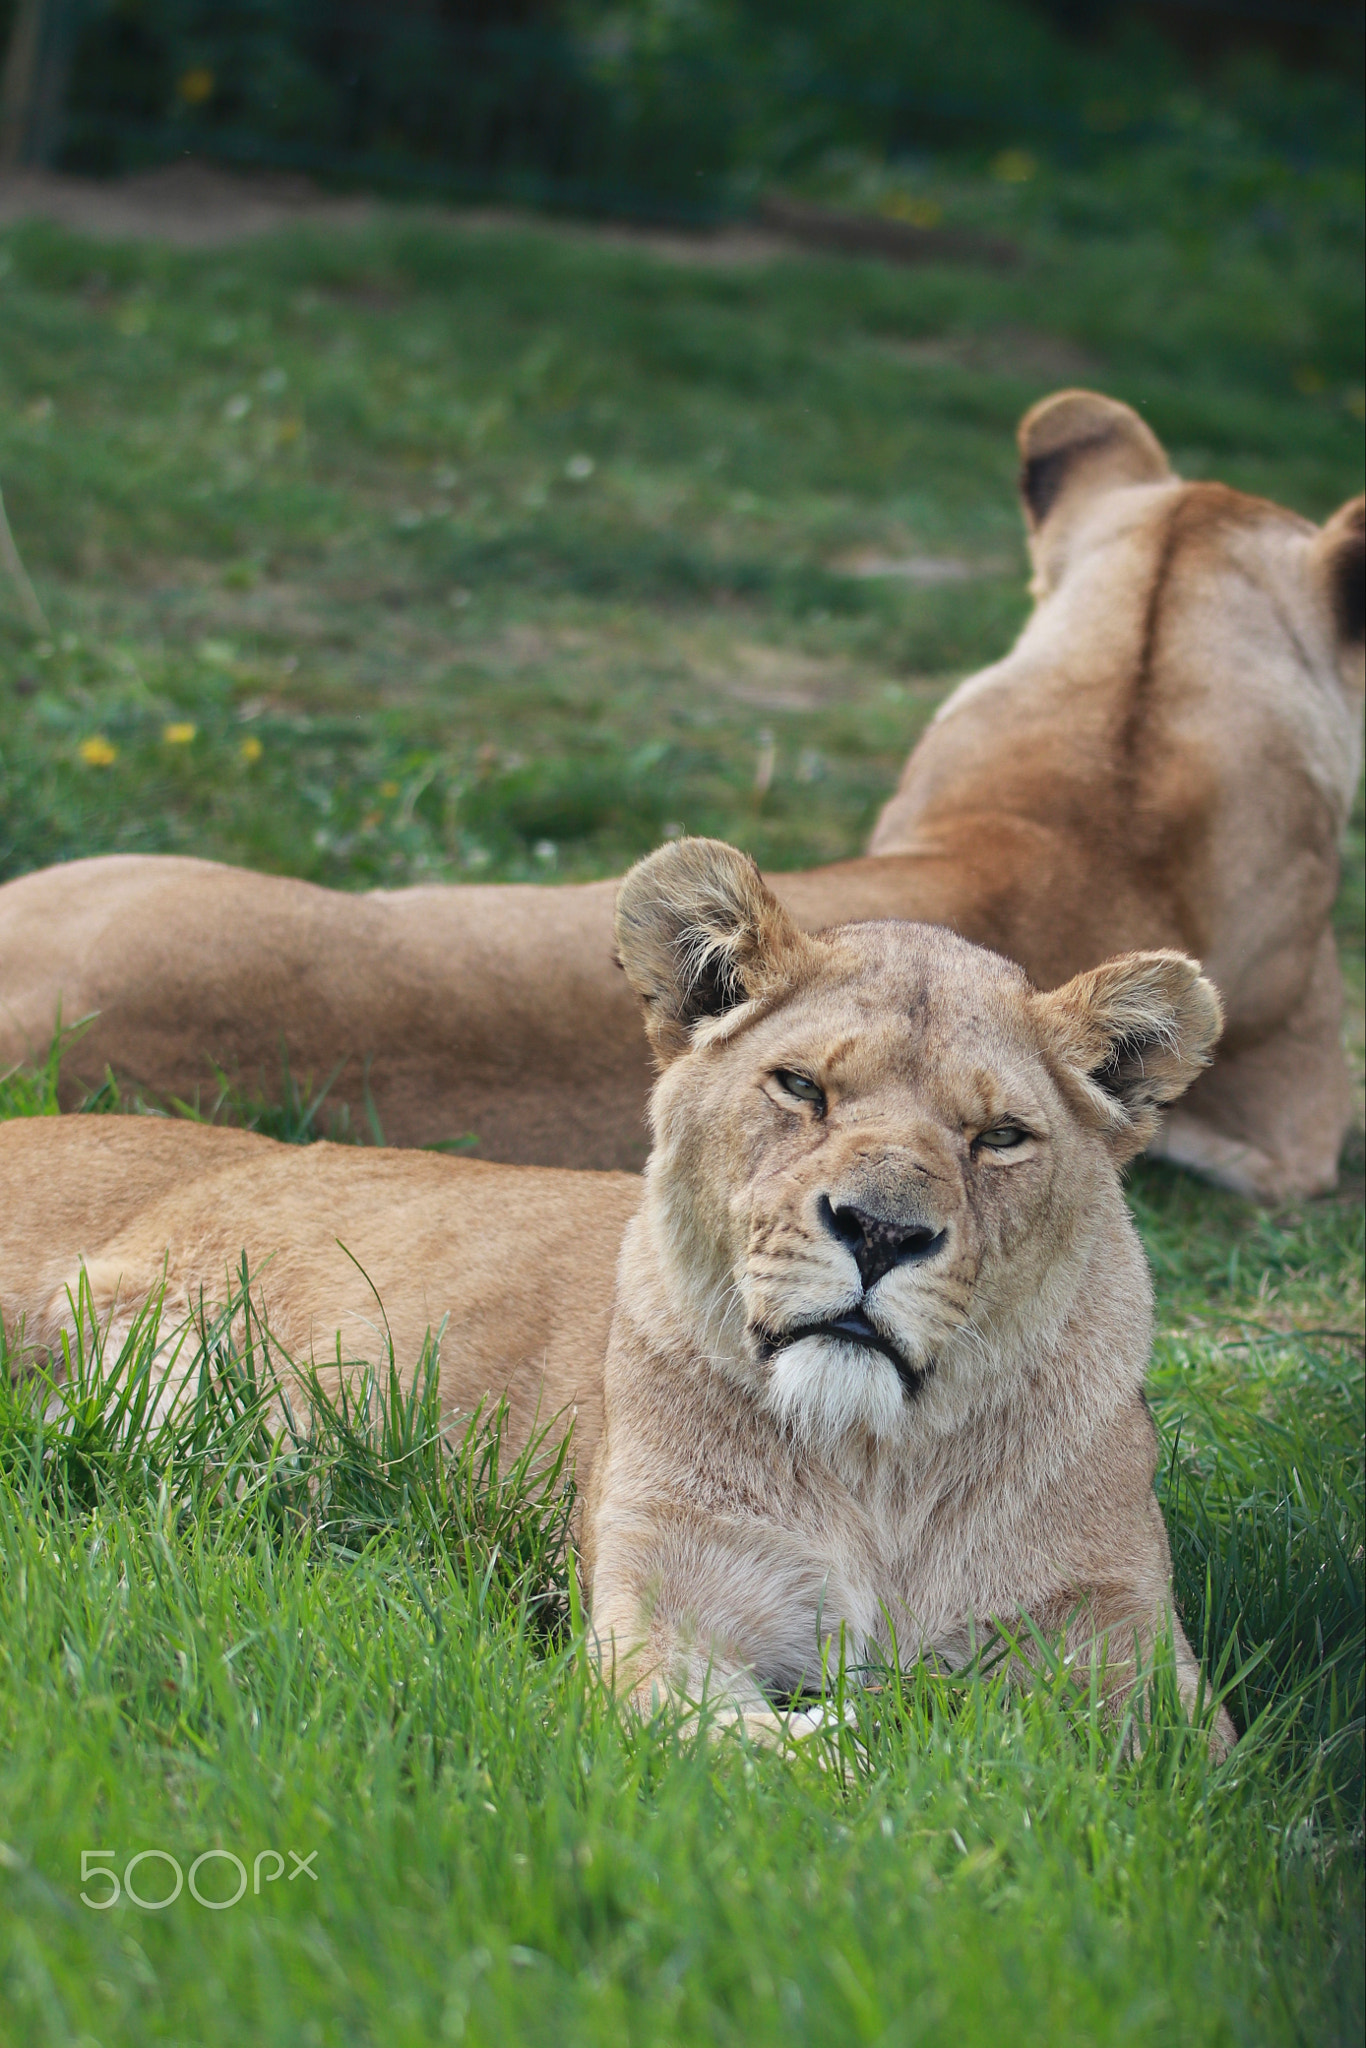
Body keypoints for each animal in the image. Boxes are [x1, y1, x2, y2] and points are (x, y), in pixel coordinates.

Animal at [0, 838, 1233, 1750]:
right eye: (800, 1087)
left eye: (1000, 1137)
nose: (882, 1231)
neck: (875, 1462)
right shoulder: (661, 1618)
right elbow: (745, 1750)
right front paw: (855, 1739)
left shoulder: (1136, 1649)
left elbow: (1116, 1756)